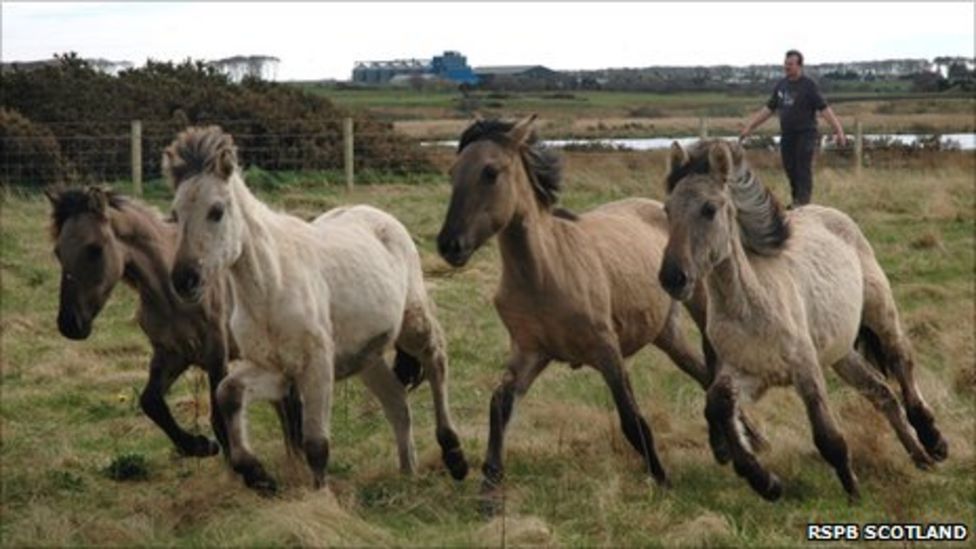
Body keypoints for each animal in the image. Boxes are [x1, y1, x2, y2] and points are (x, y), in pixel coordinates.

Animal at [45, 185, 303, 458]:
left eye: (94, 249)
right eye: (58, 252)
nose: (69, 324)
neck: (172, 294)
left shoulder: (216, 355)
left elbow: (220, 420)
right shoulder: (171, 354)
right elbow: (150, 402)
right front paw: (199, 445)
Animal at [164, 126, 468, 495]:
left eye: (216, 210)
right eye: (175, 215)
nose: (184, 280)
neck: (271, 286)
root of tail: (382, 218)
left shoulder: (316, 365)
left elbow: (316, 445)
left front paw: (322, 498)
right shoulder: (277, 370)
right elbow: (229, 393)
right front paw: (257, 474)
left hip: (413, 323)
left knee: (436, 361)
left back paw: (455, 456)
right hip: (367, 355)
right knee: (397, 401)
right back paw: (408, 475)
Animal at [436, 115, 747, 505]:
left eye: (490, 172)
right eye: (452, 171)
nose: (450, 245)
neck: (545, 273)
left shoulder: (606, 349)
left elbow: (632, 419)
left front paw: (663, 480)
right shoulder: (529, 353)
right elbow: (499, 406)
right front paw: (489, 491)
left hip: (699, 305)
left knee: (714, 369)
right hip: (667, 334)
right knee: (703, 375)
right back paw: (731, 443)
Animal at [658, 139, 948, 501]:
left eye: (709, 209)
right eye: (667, 210)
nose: (673, 278)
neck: (749, 306)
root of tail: (830, 213)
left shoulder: (805, 368)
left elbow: (827, 436)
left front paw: (853, 492)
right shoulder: (750, 374)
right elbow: (718, 404)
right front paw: (764, 481)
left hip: (880, 311)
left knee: (901, 361)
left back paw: (934, 440)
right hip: (841, 353)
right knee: (882, 393)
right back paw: (920, 457)